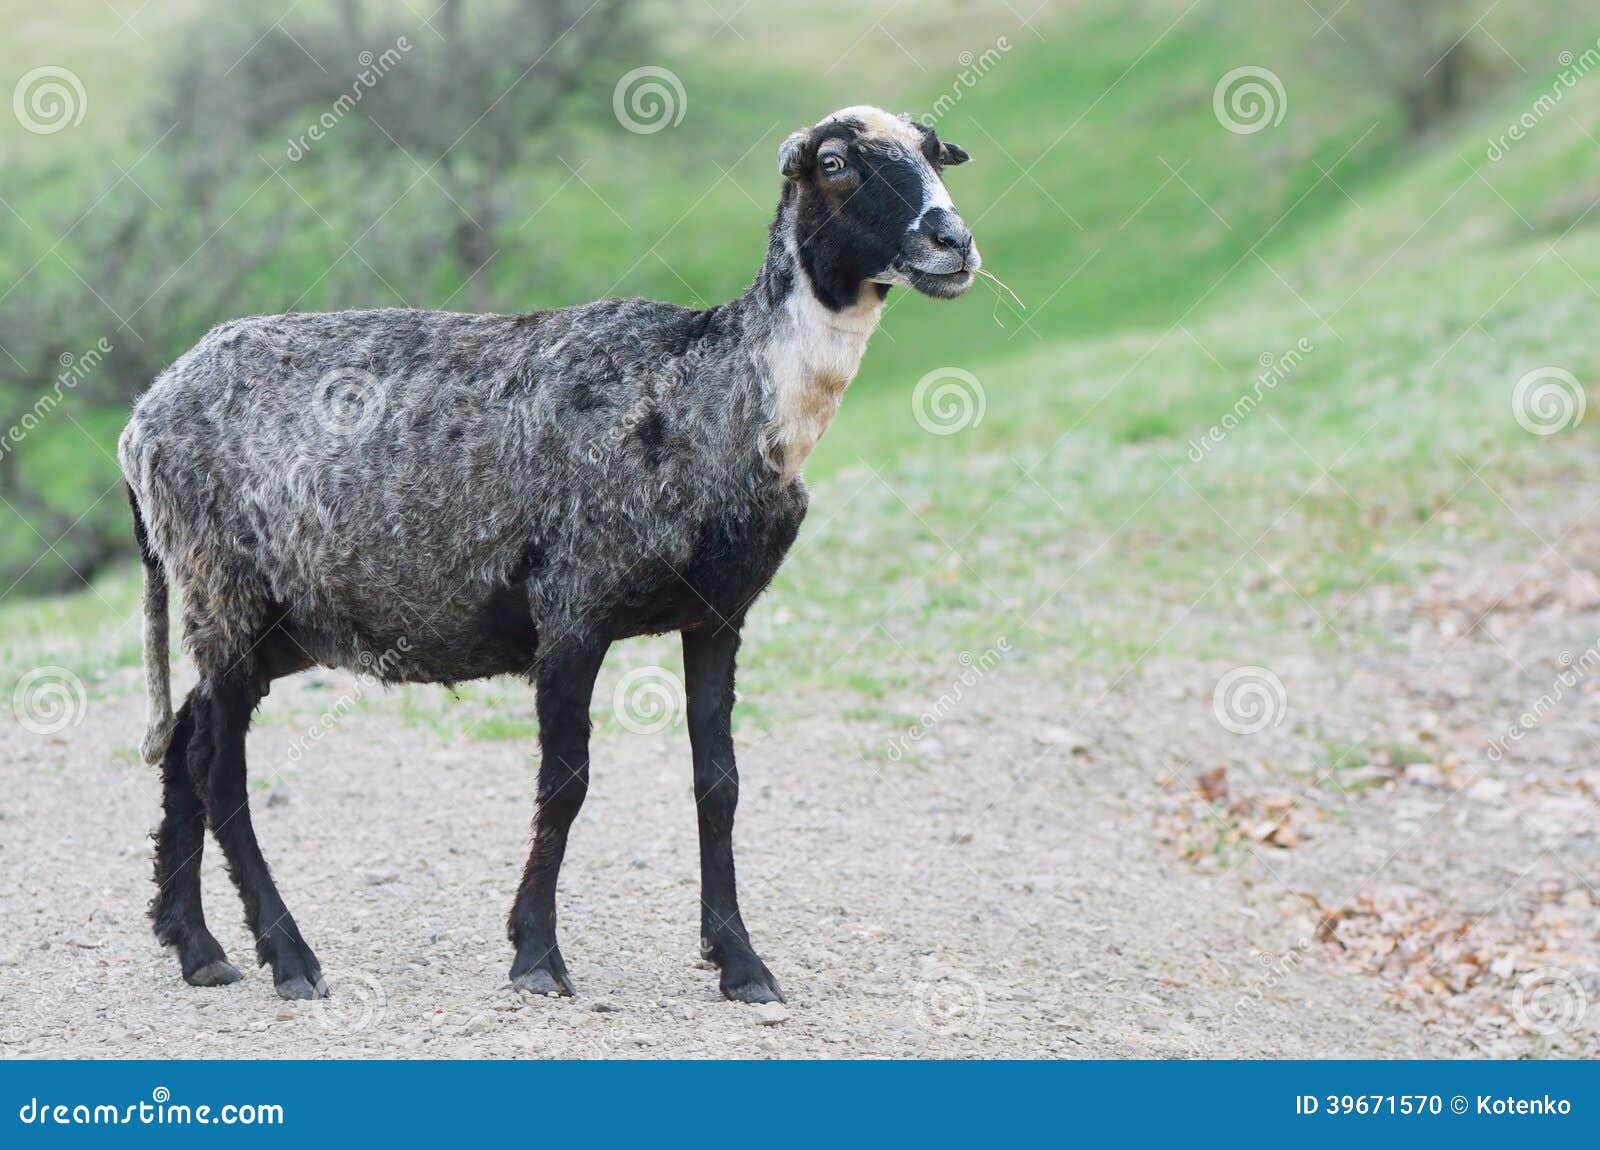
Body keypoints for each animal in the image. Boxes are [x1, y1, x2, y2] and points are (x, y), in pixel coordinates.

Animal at [119, 105, 980, 1004]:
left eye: (933, 153)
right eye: (836, 162)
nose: (952, 241)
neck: (721, 392)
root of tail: (139, 423)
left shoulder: (718, 617)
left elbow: (720, 783)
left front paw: (742, 965)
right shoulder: (574, 605)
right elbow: (566, 780)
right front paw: (537, 955)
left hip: (280, 621)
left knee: (183, 739)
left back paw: (197, 946)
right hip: (223, 586)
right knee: (218, 767)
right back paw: (288, 957)